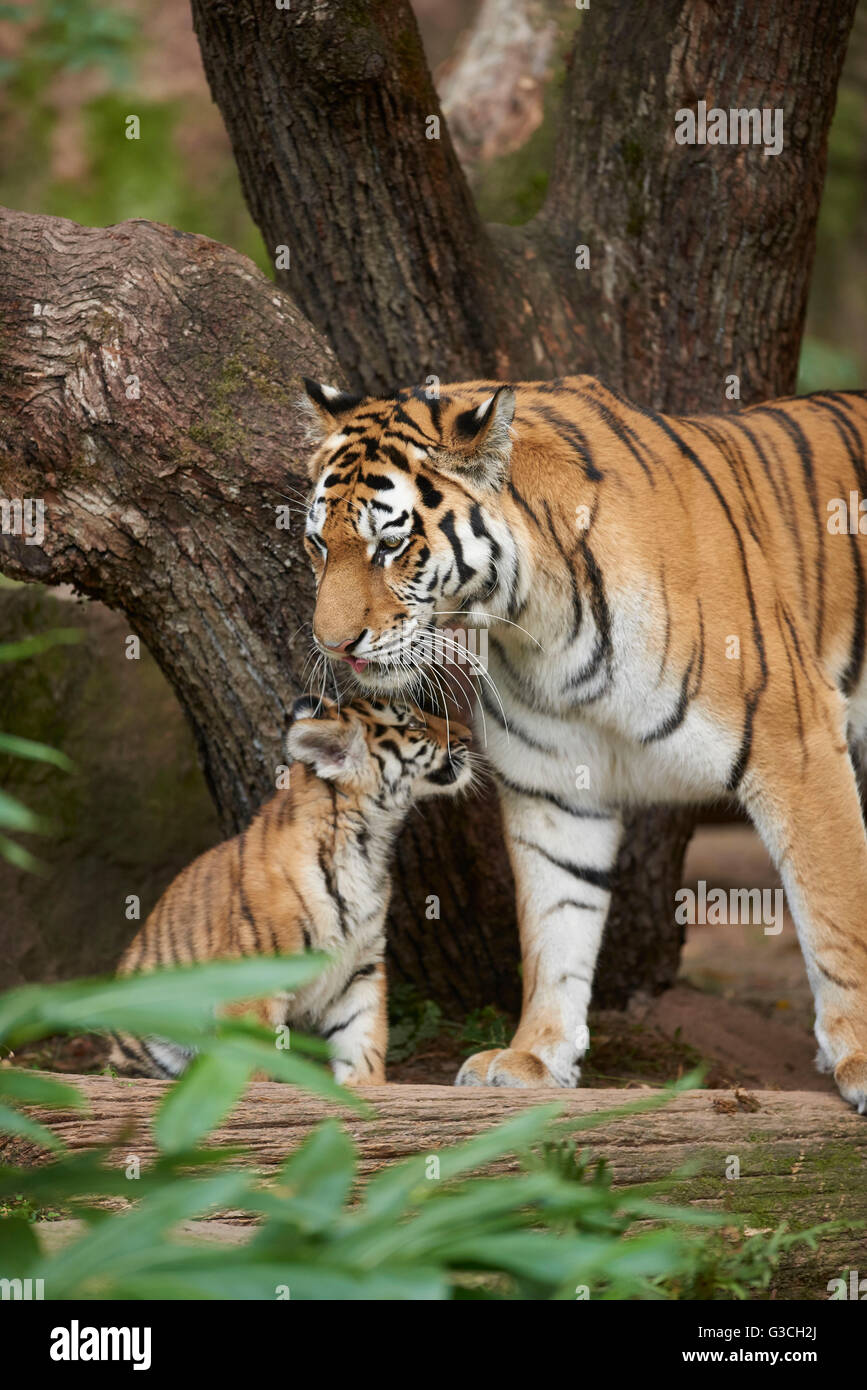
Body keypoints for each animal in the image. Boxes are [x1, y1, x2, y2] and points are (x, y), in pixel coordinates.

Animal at [110, 695, 472, 1083]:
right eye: (414, 726)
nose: (467, 735)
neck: (367, 842)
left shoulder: (360, 969)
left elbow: (363, 1043)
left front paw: (364, 1089)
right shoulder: (255, 974)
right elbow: (250, 1061)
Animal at [299, 373, 867, 1114]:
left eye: (389, 546)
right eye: (317, 544)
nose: (332, 644)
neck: (537, 618)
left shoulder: (794, 743)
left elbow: (836, 912)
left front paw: (861, 1060)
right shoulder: (553, 781)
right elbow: (556, 922)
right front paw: (535, 1055)